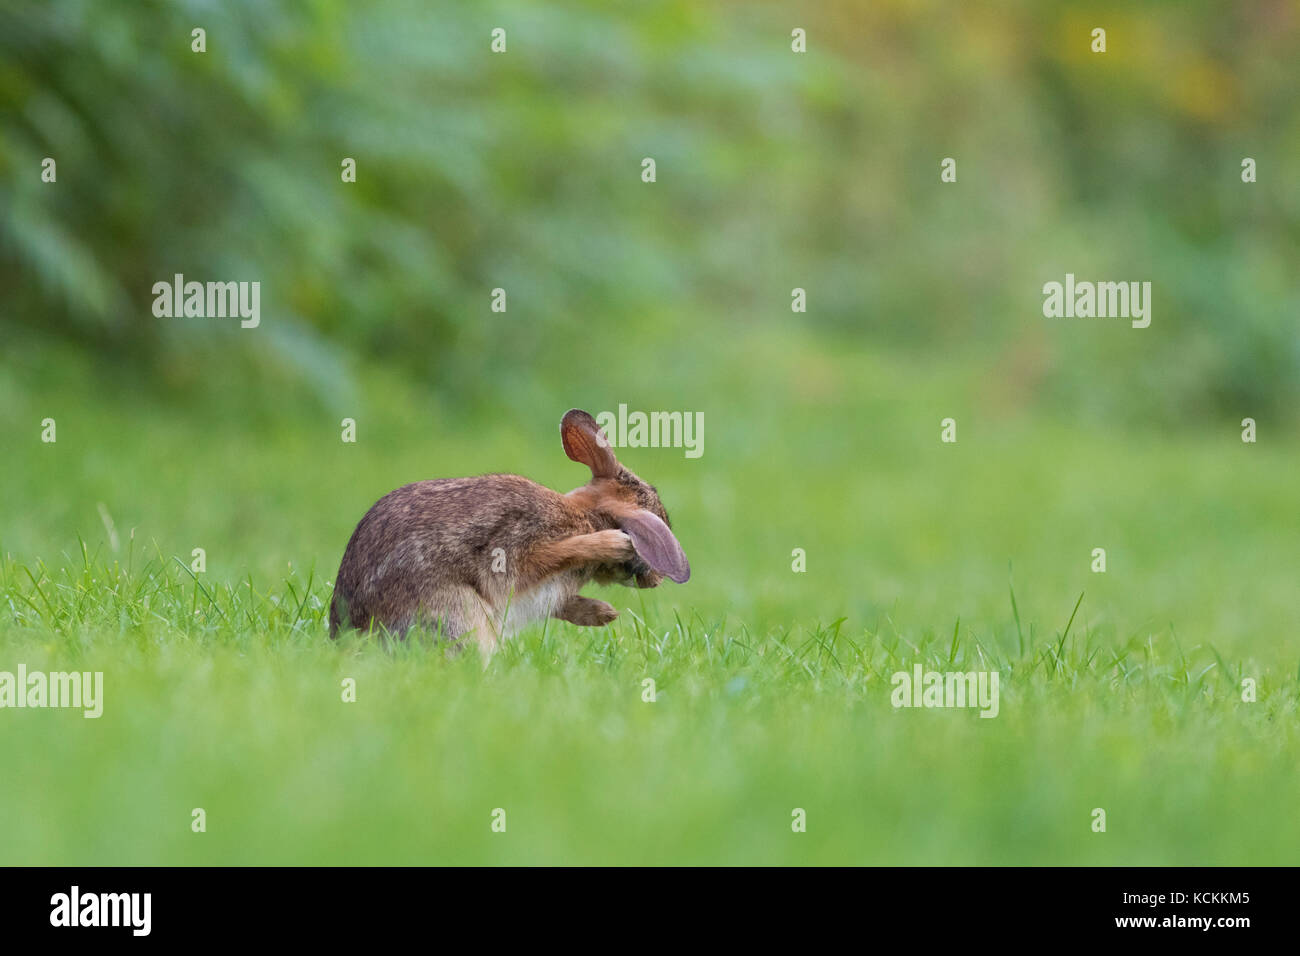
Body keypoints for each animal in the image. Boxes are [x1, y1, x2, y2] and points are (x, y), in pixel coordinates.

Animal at [328, 409, 689, 656]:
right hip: (458, 614)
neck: (587, 516)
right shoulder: (522, 543)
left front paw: (603, 614)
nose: (656, 580)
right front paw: (614, 544)